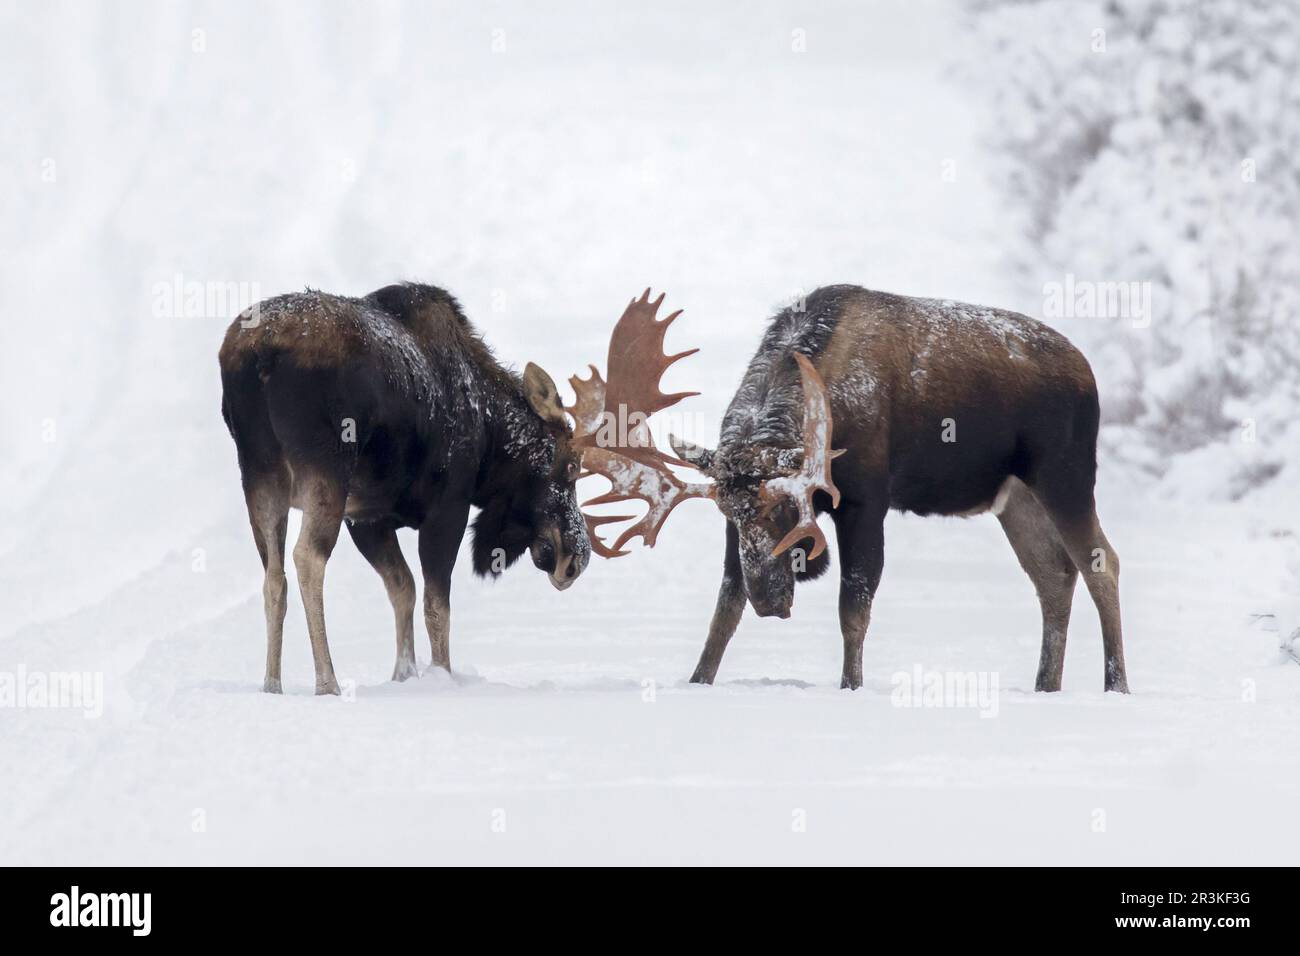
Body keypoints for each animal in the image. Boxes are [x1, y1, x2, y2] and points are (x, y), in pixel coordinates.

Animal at [219, 282, 688, 695]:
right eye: (571, 467)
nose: (577, 558)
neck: (491, 440)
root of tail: (257, 355)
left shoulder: (367, 516)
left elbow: (403, 589)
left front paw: (404, 675)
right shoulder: (447, 507)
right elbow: (435, 605)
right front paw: (442, 677)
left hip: (257, 472)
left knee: (273, 576)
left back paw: (272, 685)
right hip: (327, 467)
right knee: (307, 558)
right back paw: (327, 682)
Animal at [576, 285, 1129, 694]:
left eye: (782, 509)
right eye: (729, 513)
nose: (770, 600)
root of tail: (1088, 373)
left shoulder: (866, 501)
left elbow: (854, 605)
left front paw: (851, 687)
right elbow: (724, 609)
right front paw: (698, 680)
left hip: (1065, 476)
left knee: (1102, 562)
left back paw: (1115, 684)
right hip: (1015, 499)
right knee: (1054, 576)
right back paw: (1046, 685)